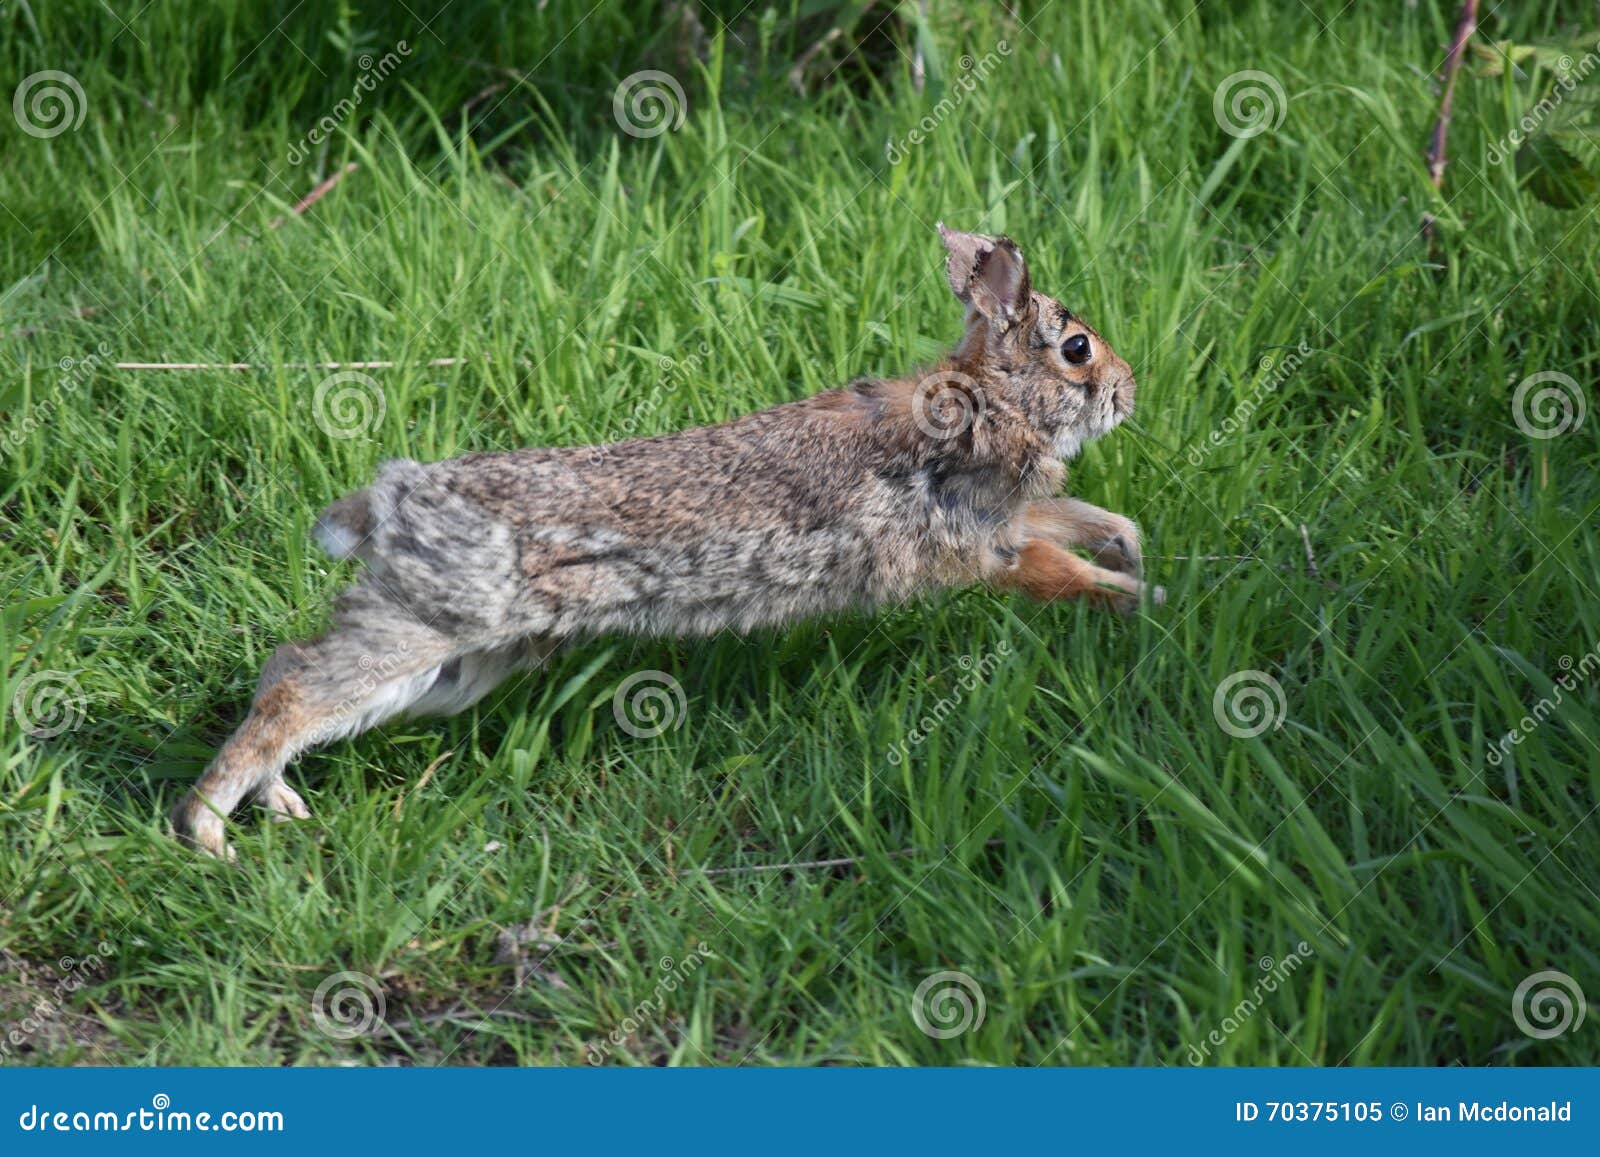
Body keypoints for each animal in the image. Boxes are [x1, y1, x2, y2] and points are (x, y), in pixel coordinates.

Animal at [171, 225, 1159, 858]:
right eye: (1076, 348)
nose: (1128, 390)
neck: (987, 398)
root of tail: (387, 501)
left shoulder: (1014, 516)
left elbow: (1092, 522)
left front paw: (1138, 556)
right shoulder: (993, 545)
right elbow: (1061, 569)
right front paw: (1148, 607)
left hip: (452, 666)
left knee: (292, 670)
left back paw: (277, 802)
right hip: (429, 624)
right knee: (294, 689)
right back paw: (211, 831)